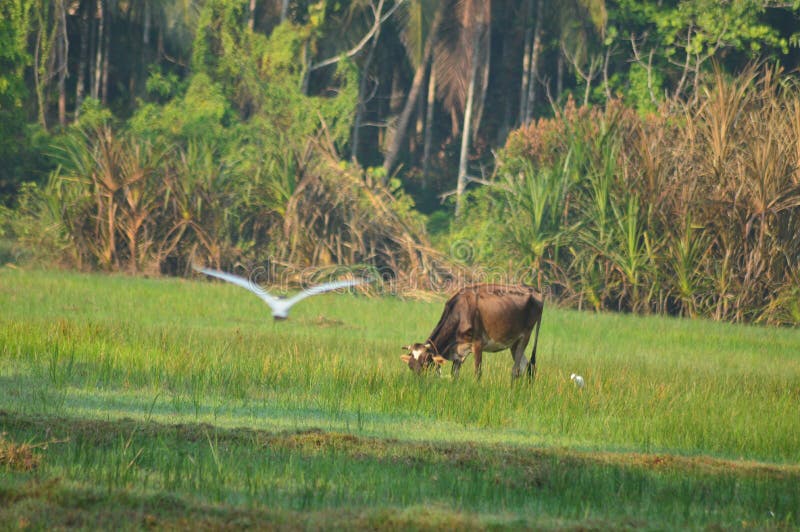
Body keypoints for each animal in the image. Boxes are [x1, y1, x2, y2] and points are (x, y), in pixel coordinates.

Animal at [401, 284, 543, 380]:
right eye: (410, 366)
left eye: (426, 363)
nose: (419, 382)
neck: (460, 312)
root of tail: (535, 291)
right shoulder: (458, 351)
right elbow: (455, 375)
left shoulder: (478, 344)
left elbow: (477, 373)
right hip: (514, 342)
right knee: (528, 367)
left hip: (525, 336)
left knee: (516, 370)